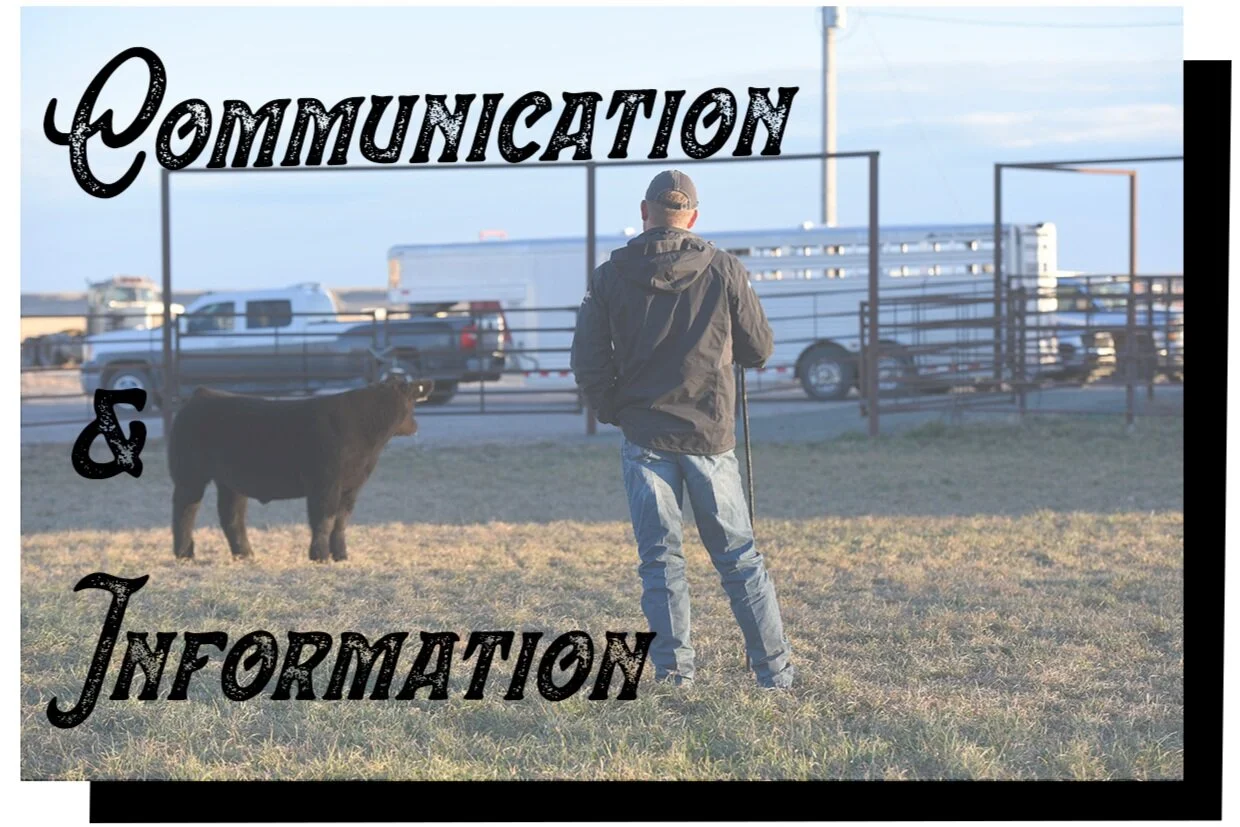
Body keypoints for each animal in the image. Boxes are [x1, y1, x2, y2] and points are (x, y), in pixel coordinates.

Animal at [166, 376, 432, 562]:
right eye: (412, 402)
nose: (416, 425)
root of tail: (202, 394)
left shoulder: (352, 485)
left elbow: (341, 521)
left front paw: (341, 556)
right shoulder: (325, 483)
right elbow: (324, 520)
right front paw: (320, 556)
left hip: (229, 481)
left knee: (231, 515)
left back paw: (245, 554)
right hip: (189, 474)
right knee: (185, 509)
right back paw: (184, 554)